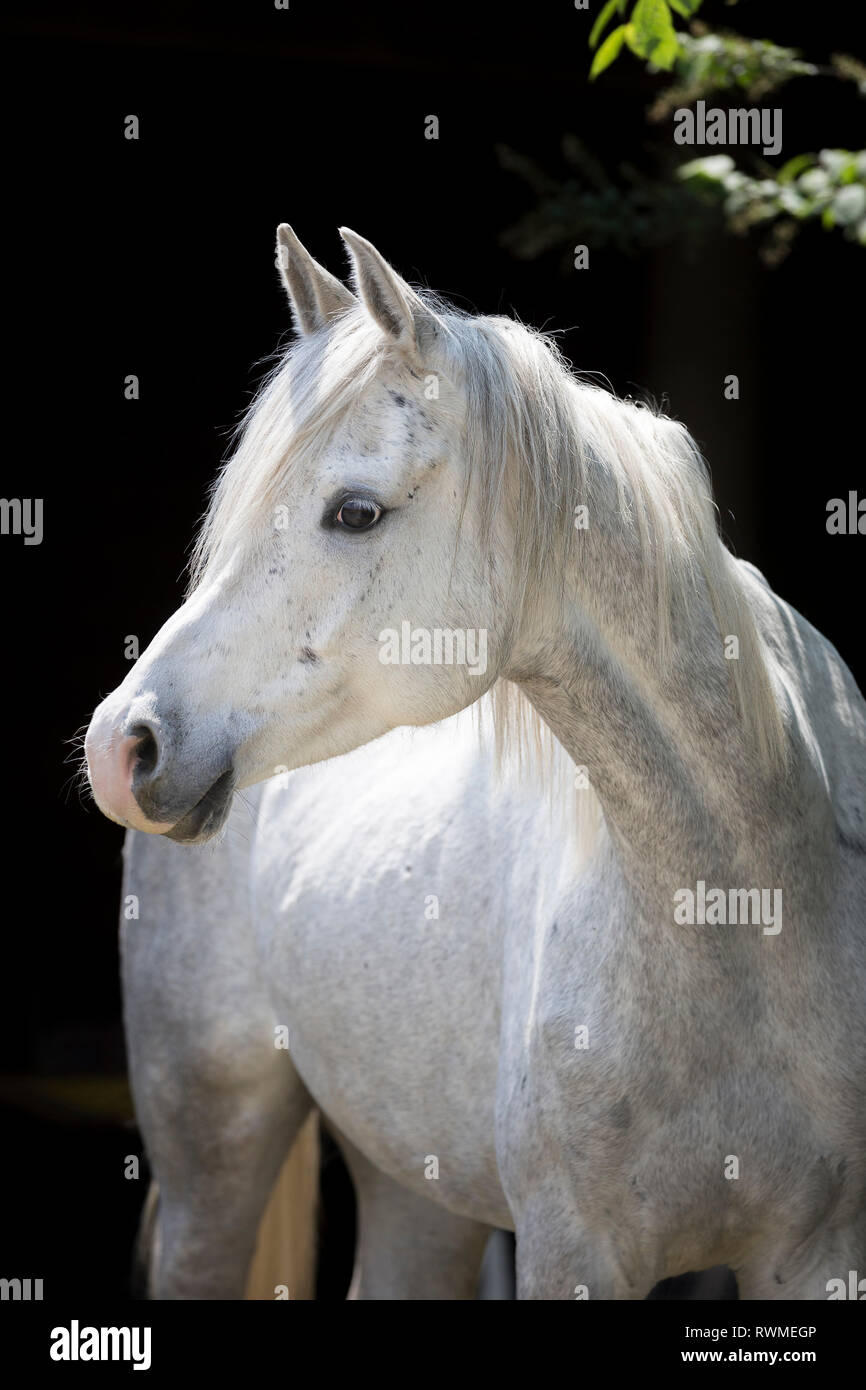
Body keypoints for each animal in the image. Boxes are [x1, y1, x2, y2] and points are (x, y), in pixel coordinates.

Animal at [85, 223, 866, 1299]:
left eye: (355, 512)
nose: (121, 745)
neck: (753, 903)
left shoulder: (821, 1252)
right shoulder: (572, 1251)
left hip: (413, 1184)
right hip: (213, 1149)